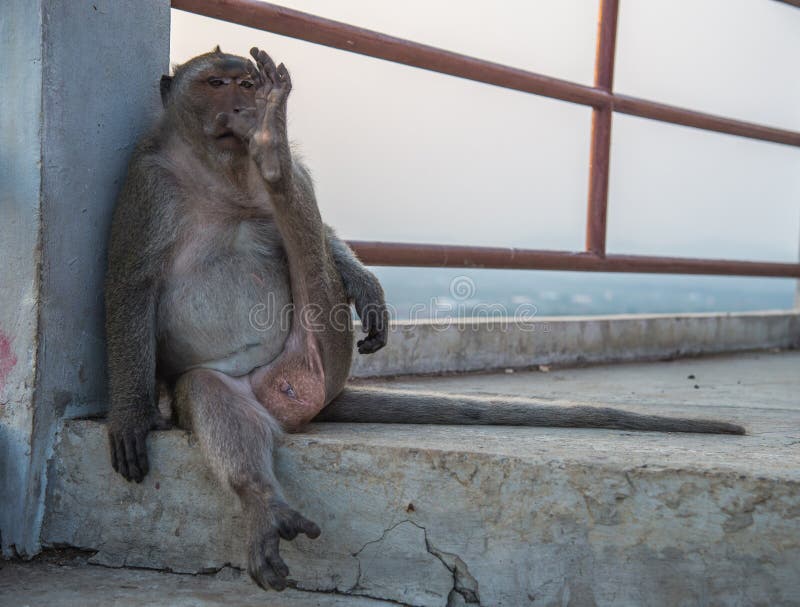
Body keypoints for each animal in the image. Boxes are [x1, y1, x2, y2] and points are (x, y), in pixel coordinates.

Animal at [105, 46, 745, 592]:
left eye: (243, 84)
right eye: (216, 84)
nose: (244, 106)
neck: (219, 172)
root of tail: (300, 395)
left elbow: (318, 239)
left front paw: (365, 284)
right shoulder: (146, 181)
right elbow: (129, 286)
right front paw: (131, 414)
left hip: (314, 362)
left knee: (298, 217)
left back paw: (275, 155)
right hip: (269, 381)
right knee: (207, 390)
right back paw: (261, 500)